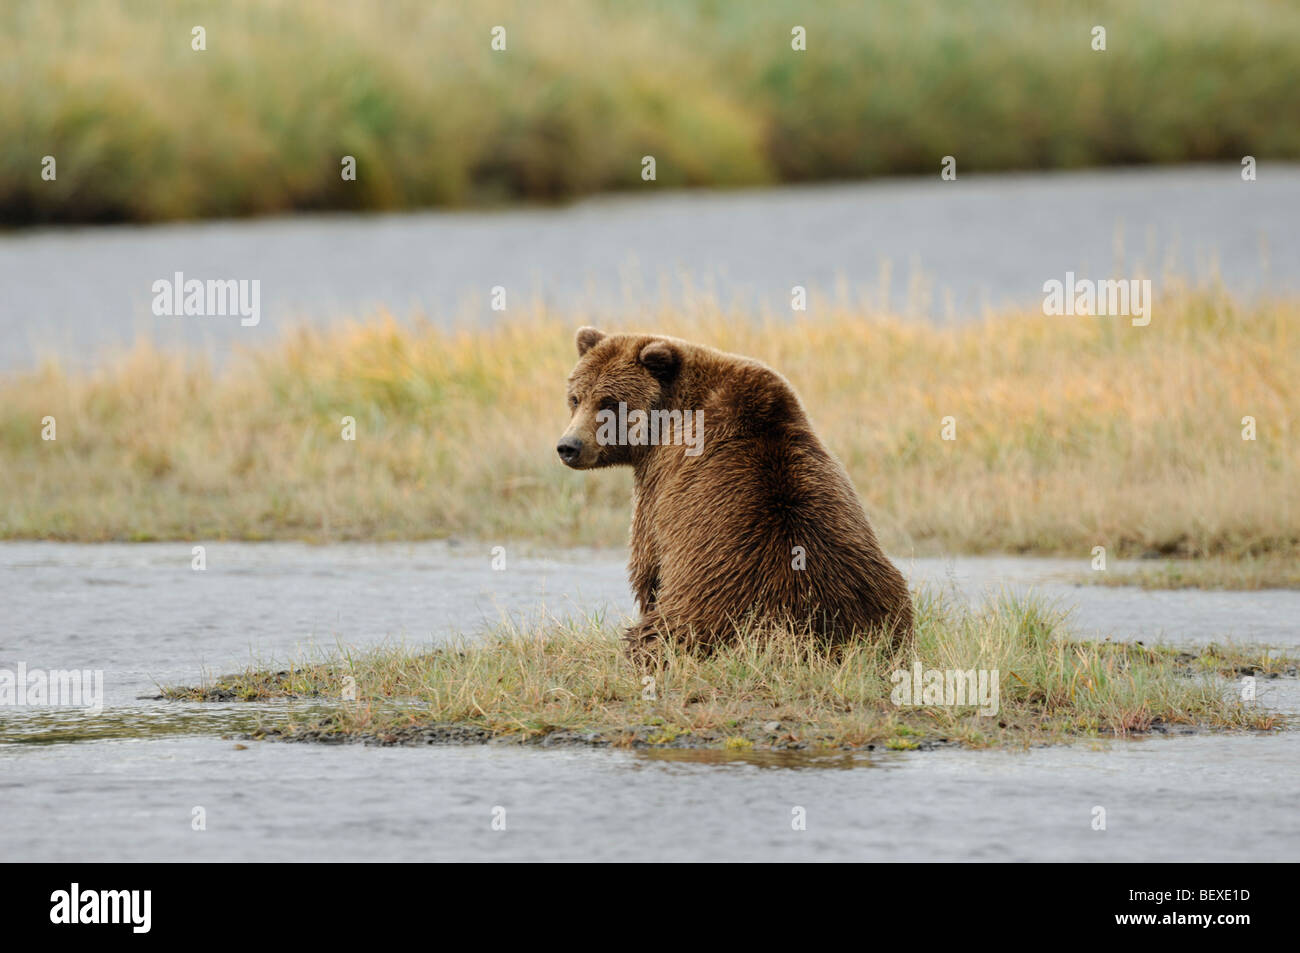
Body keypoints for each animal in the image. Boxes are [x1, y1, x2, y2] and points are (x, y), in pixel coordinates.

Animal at [557, 326, 914, 657]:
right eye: (576, 397)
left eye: (609, 403)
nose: (569, 446)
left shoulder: (661, 481)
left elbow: (649, 562)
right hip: (878, 596)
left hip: (705, 609)